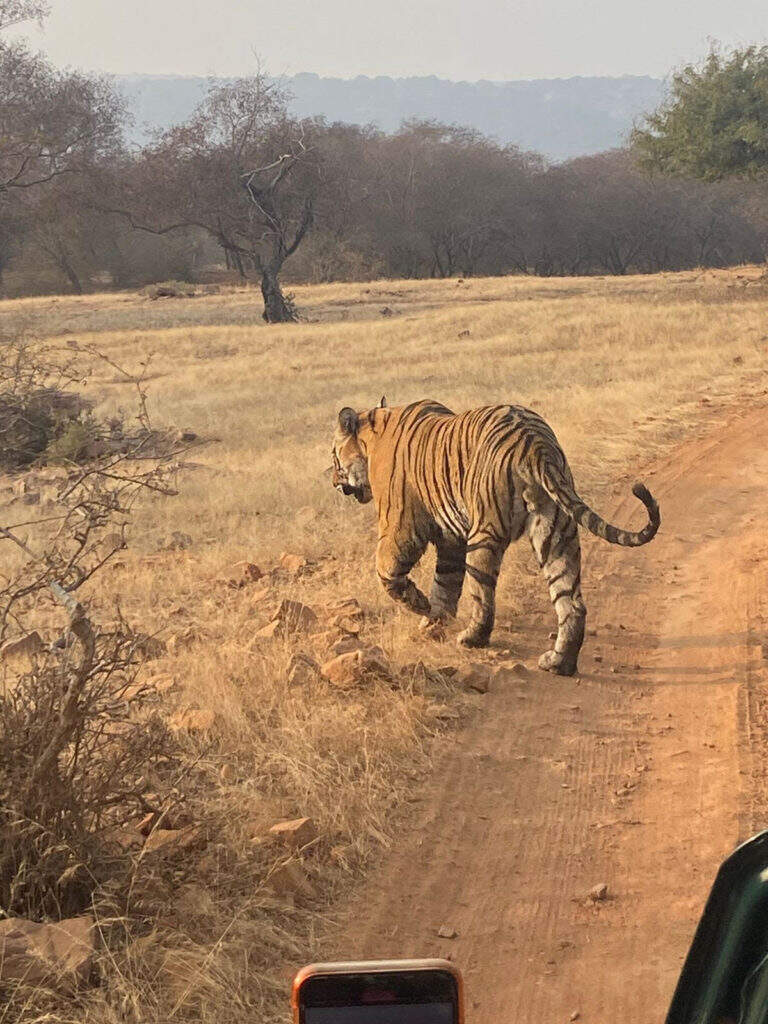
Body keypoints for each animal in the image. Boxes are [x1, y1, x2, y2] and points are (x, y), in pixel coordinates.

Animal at [331, 397, 660, 677]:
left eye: (334, 455)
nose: (334, 482)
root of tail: (536, 441)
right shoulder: (451, 539)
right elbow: (446, 583)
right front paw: (433, 621)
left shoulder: (400, 525)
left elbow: (386, 571)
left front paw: (421, 607)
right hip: (557, 531)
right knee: (572, 603)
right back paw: (559, 662)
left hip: (484, 532)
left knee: (484, 596)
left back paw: (472, 638)